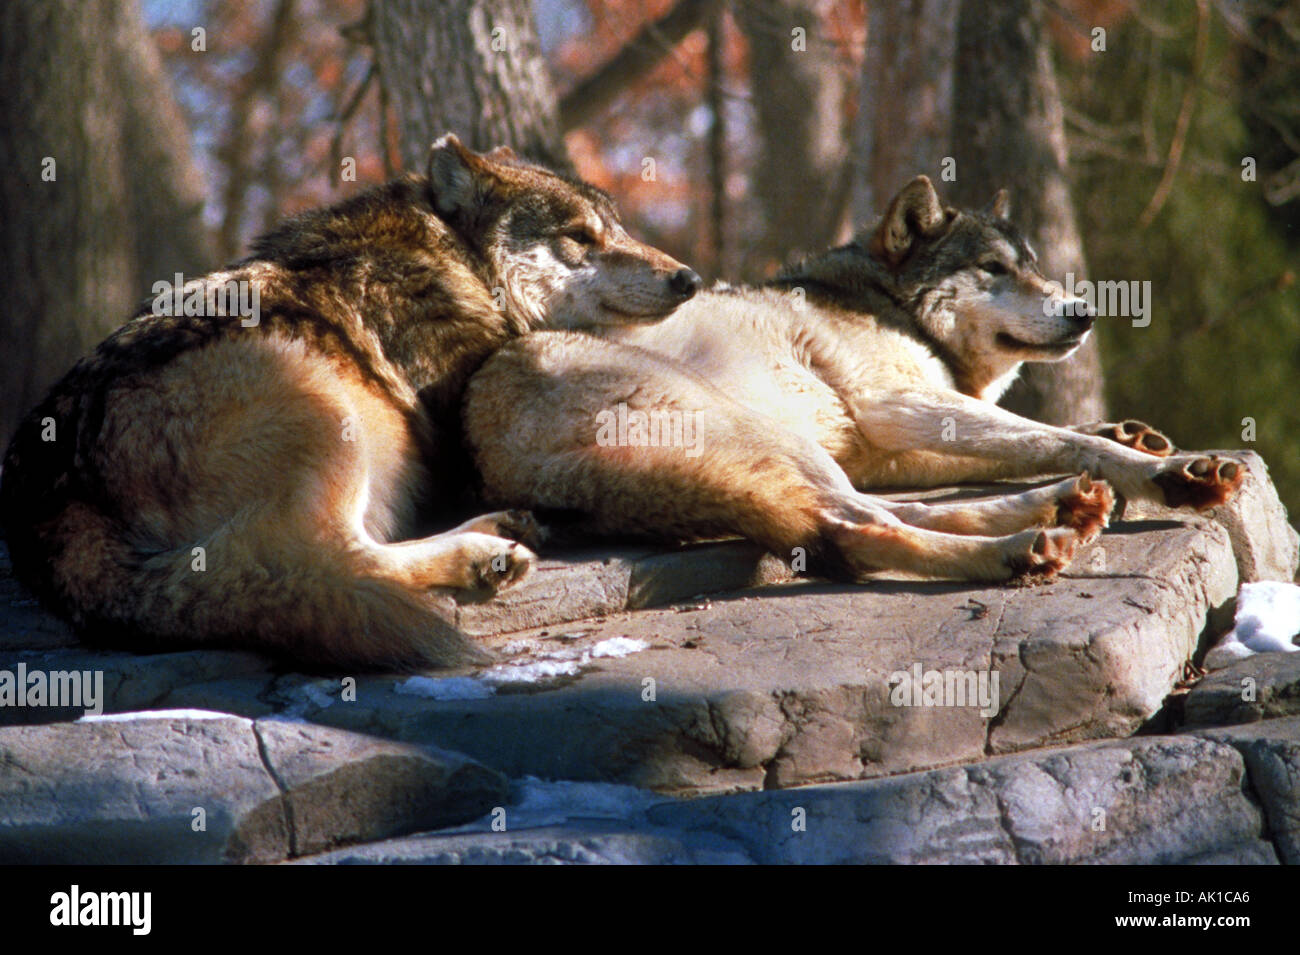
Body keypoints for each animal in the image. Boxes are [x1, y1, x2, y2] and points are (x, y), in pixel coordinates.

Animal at [0, 134, 700, 670]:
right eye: (580, 237)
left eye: (621, 229)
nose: (688, 278)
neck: (463, 265)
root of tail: (53, 507)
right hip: (321, 404)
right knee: (336, 560)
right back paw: (482, 558)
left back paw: (498, 533)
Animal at [465, 175, 1244, 583]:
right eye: (994, 269)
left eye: (1031, 265)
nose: (1084, 312)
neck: (890, 303)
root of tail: (490, 451)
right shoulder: (895, 403)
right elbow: (1061, 439)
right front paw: (1170, 472)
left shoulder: (895, 438)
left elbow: (1044, 436)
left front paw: (1129, 434)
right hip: (762, 430)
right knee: (860, 527)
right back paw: (1022, 547)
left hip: (794, 454)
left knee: (883, 515)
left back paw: (1062, 509)